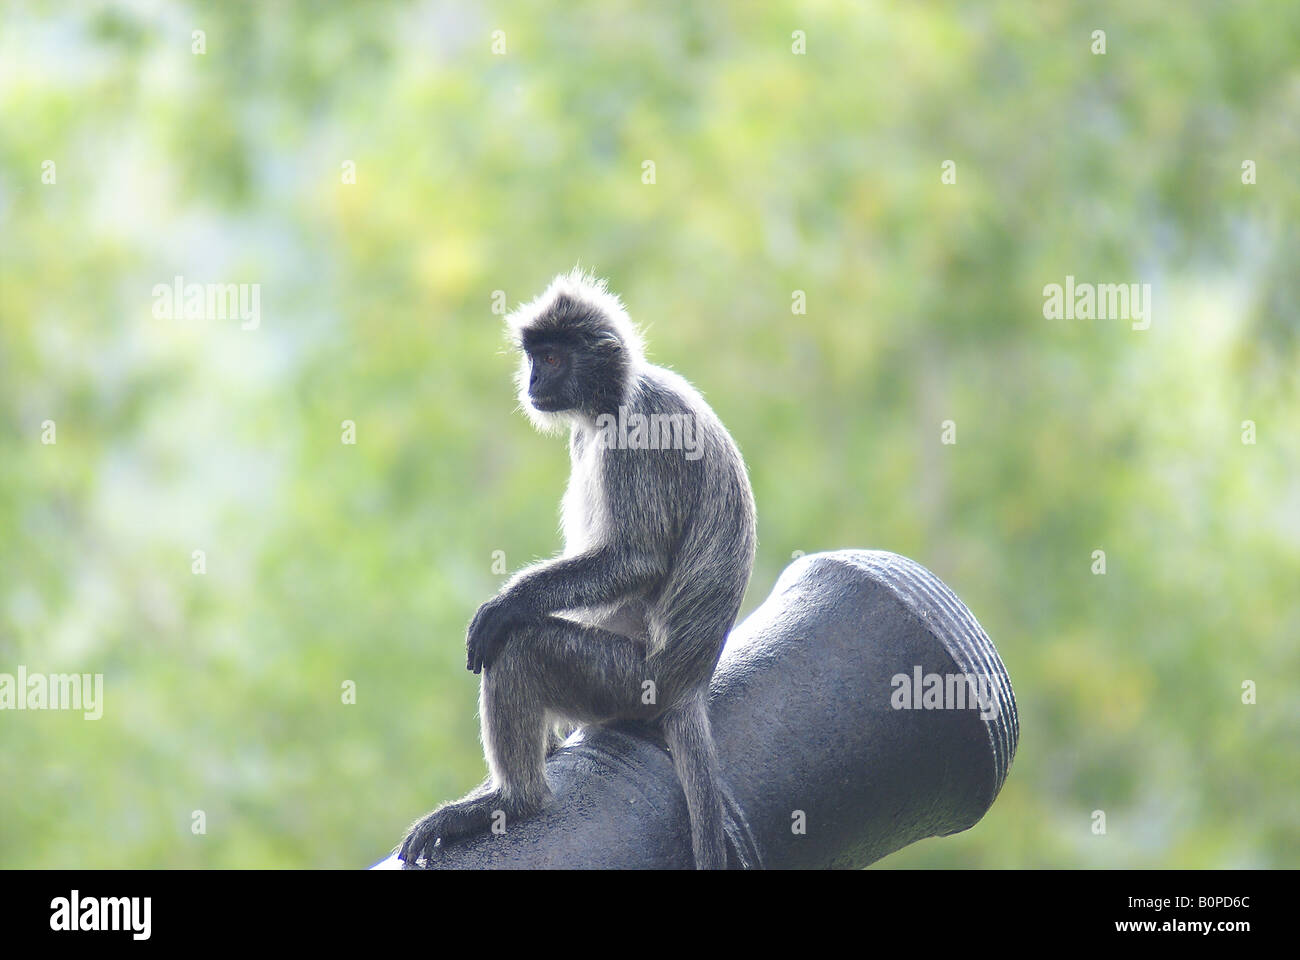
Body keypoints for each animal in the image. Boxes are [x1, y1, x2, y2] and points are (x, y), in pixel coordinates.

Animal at [398, 269, 756, 870]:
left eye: (553, 358)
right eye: (533, 357)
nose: (532, 380)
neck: (610, 404)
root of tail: (689, 683)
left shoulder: (643, 428)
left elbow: (637, 559)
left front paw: (508, 603)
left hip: (625, 682)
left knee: (522, 648)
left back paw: (516, 802)